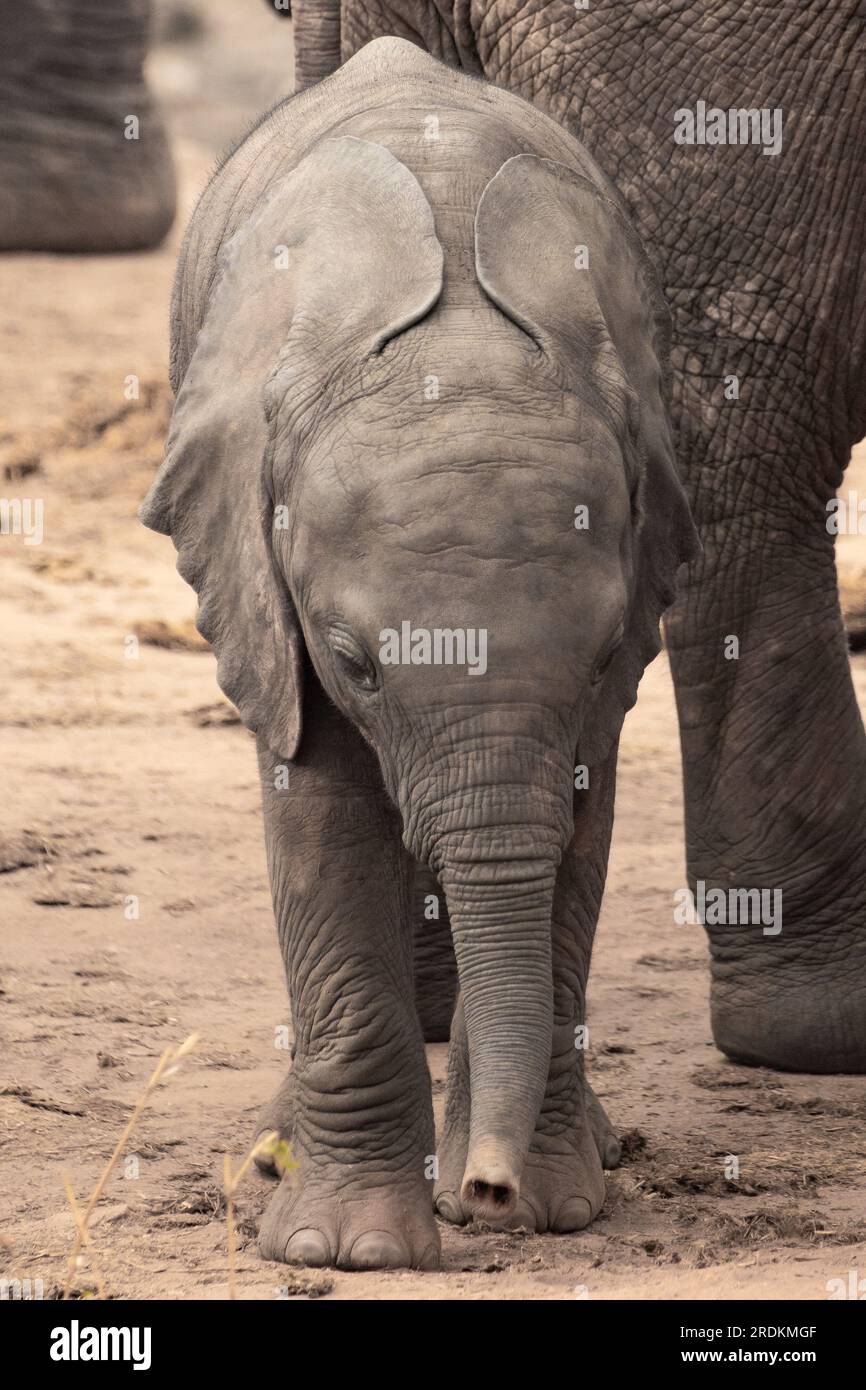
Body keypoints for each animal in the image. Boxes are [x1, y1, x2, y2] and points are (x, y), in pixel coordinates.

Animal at [140, 36, 698, 1269]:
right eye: (354, 660)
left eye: (602, 656)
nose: (482, 1192)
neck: (459, 351)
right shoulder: (271, 593)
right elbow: (321, 821)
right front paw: (344, 1250)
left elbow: (574, 842)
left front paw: (557, 1207)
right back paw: (275, 1154)